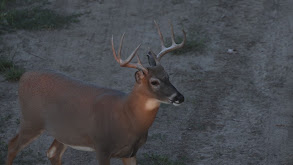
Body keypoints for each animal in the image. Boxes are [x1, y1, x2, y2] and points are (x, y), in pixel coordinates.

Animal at [6, 21, 185, 165]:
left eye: (168, 76)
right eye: (154, 82)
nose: (179, 97)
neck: (127, 116)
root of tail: (24, 76)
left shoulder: (131, 152)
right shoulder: (102, 147)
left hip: (64, 132)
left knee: (52, 153)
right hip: (31, 120)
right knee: (12, 145)